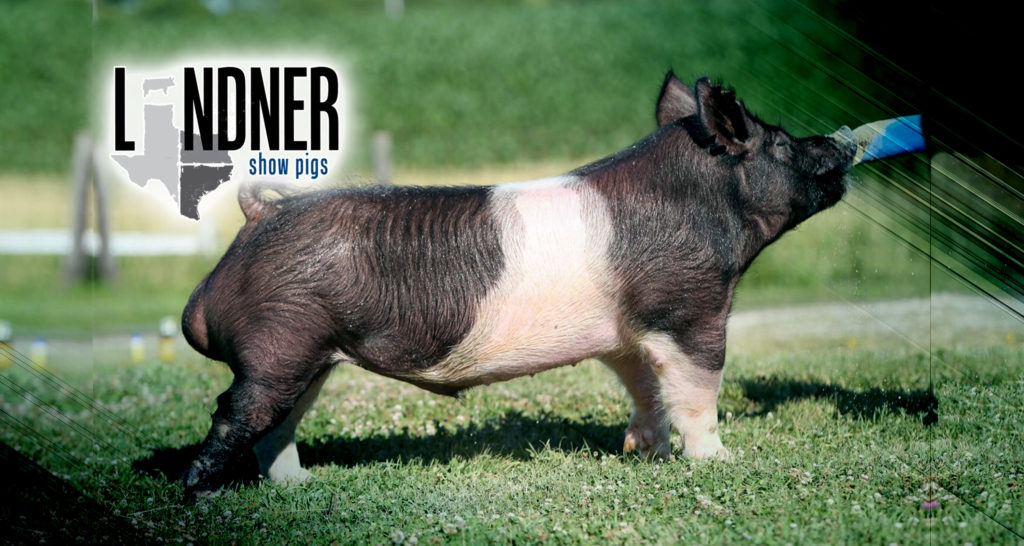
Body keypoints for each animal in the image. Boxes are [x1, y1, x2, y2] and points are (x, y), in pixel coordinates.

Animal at [180, 73, 856, 499]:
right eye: (779, 143)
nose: (842, 141)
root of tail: (261, 215)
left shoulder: (627, 334)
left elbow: (646, 388)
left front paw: (644, 451)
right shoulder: (689, 310)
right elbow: (699, 388)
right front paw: (720, 460)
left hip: (310, 357)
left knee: (276, 426)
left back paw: (302, 484)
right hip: (280, 340)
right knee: (236, 413)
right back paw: (198, 493)